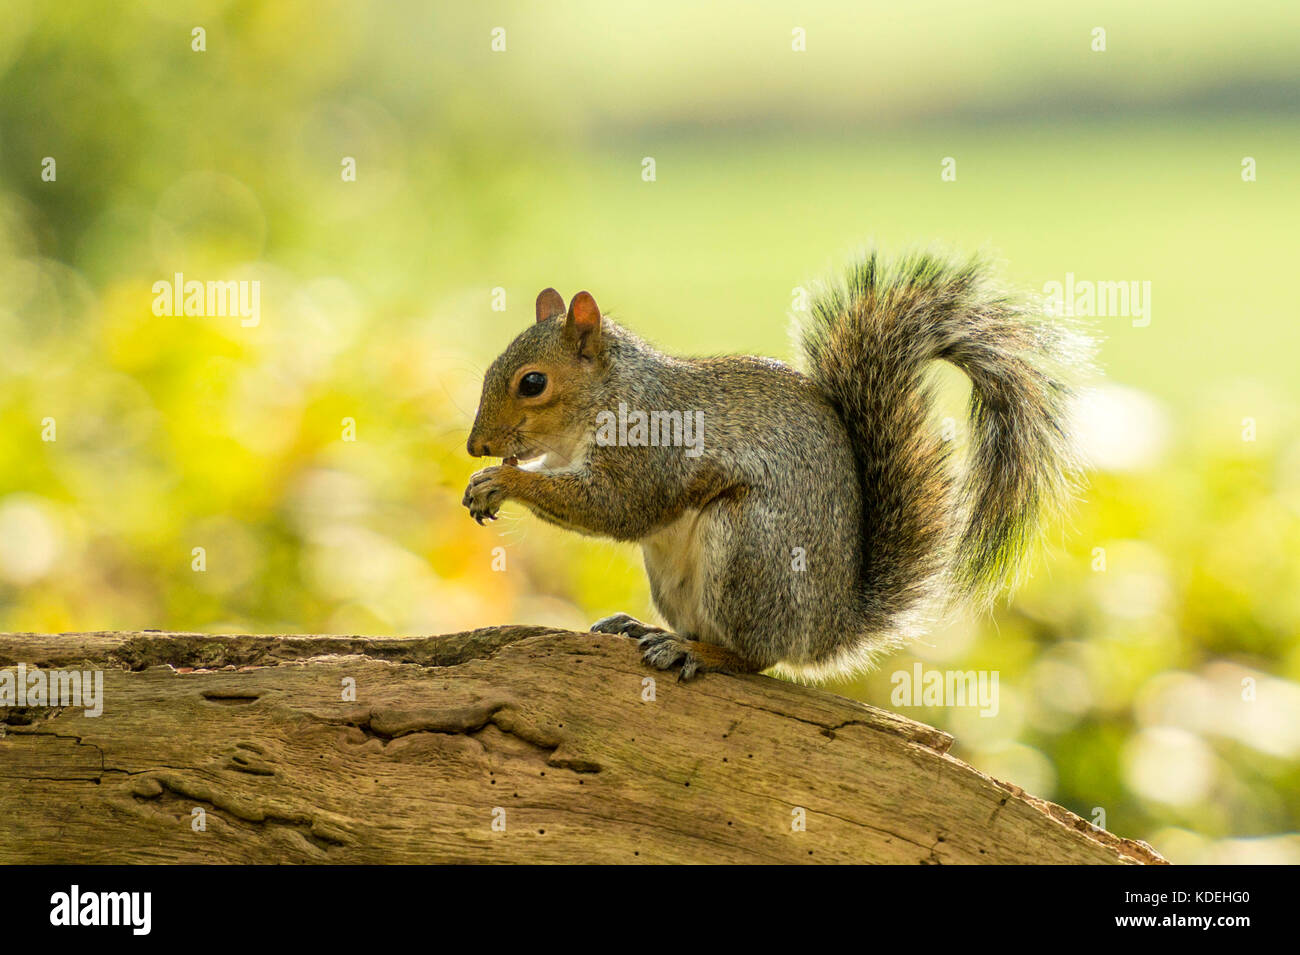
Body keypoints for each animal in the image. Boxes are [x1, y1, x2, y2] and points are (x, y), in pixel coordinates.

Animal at [464, 248, 1093, 681]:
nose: (474, 447)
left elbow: (617, 507)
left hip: (747, 546)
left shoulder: (651, 448)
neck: (610, 394)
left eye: (533, 383)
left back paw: (695, 650)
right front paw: (484, 479)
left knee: (755, 657)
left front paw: (502, 479)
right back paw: (643, 628)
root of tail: (828, 628)